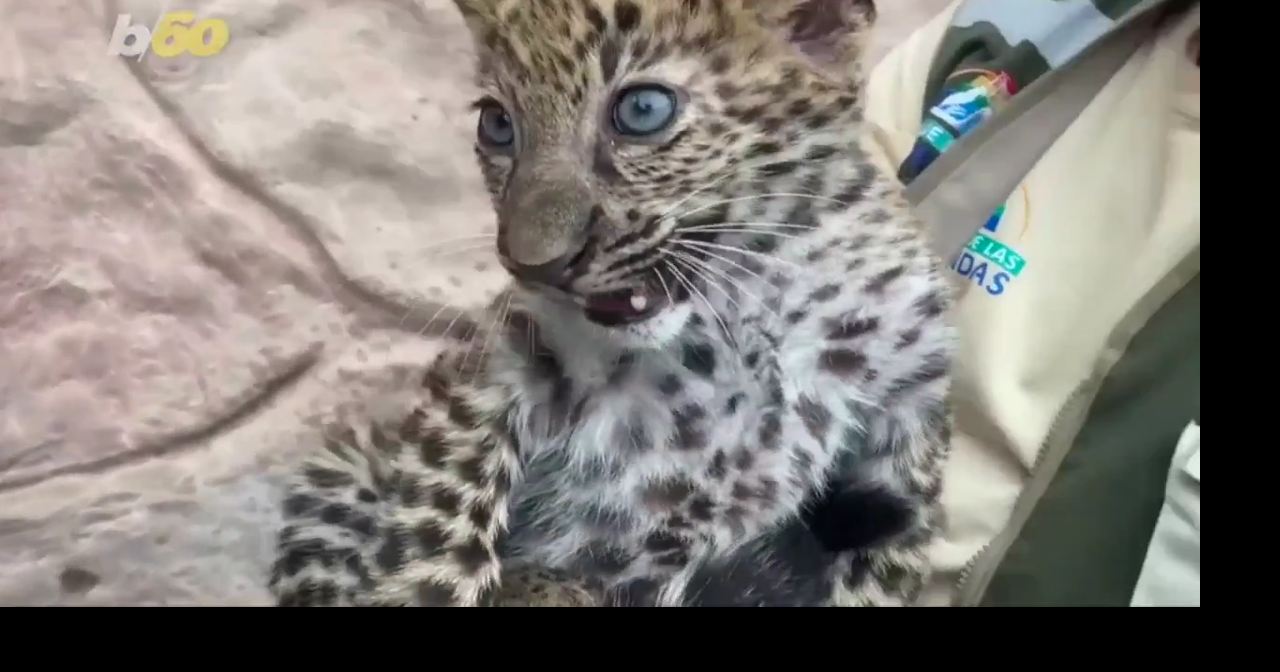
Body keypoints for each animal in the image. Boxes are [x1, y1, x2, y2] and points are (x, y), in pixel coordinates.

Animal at [268, 0, 956, 607]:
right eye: (497, 125)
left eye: (643, 110)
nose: (533, 266)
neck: (754, 299)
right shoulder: (501, 363)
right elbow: (439, 527)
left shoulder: (911, 423)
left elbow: (879, 578)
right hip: (345, 471)